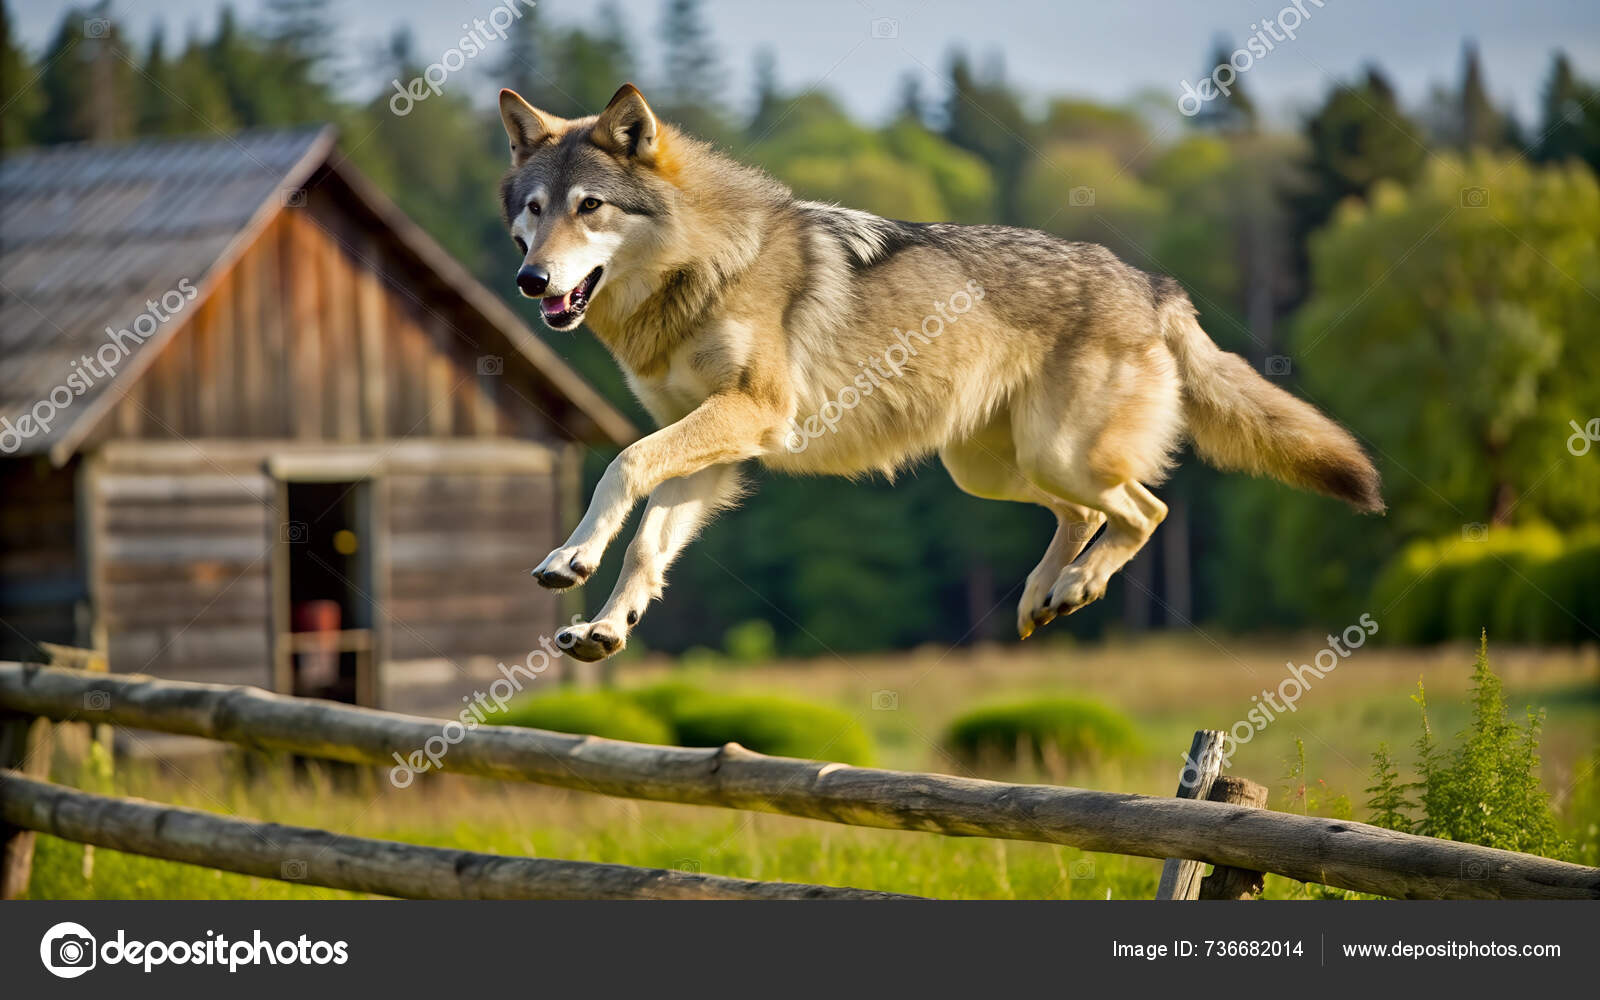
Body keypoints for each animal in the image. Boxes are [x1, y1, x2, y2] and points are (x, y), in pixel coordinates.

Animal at [497, 83, 1383, 662]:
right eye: (534, 211)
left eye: (589, 207)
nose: (531, 282)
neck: (702, 266)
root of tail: (1155, 285)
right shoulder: (714, 449)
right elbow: (649, 546)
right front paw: (605, 629)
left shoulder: (745, 416)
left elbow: (620, 468)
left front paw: (568, 561)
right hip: (991, 471)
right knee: (1082, 517)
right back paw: (1044, 596)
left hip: (1060, 457)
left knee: (1147, 511)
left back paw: (1077, 588)